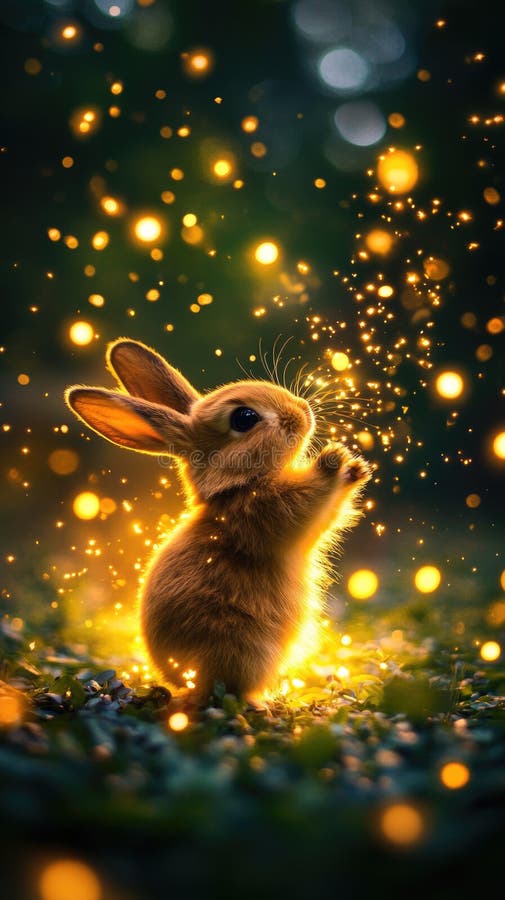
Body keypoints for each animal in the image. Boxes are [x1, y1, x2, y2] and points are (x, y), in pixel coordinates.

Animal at [65, 338, 371, 706]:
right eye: (245, 418)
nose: (302, 410)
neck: (236, 485)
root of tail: (189, 682)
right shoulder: (273, 512)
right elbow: (312, 500)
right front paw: (334, 459)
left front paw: (356, 467)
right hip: (246, 650)